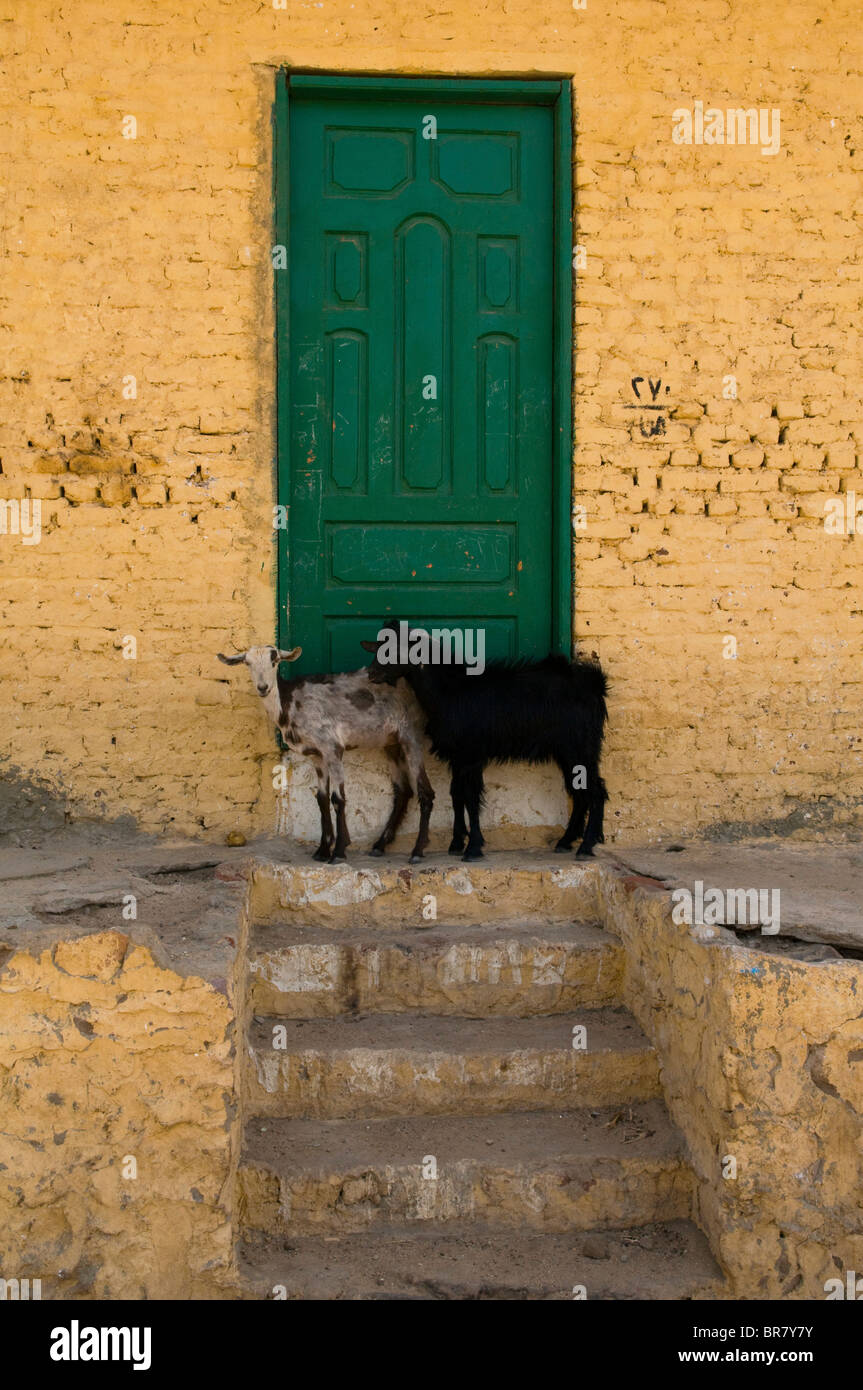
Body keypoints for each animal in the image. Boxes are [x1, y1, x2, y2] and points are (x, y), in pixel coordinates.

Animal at [217, 645, 434, 863]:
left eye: (275, 660)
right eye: (247, 663)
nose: (263, 687)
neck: (290, 702)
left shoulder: (332, 748)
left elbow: (338, 798)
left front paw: (338, 851)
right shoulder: (317, 755)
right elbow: (321, 799)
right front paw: (322, 850)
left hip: (411, 735)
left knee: (425, 792)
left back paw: (417, 851)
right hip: (391, 742)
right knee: (403, 791)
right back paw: (380, 845)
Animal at [361, 623, 608, 862]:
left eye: (396, 649)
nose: (372, 673)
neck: (449, 689)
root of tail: (595, 684)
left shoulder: (470, 754)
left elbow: (471, 797)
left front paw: (473, 848)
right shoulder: (457, 756)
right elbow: (456, 794)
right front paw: (456, 844)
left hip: (580, 747)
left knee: (595, 791)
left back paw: (585, 846)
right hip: (568, 752)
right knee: (580, 792)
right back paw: (566, 841)